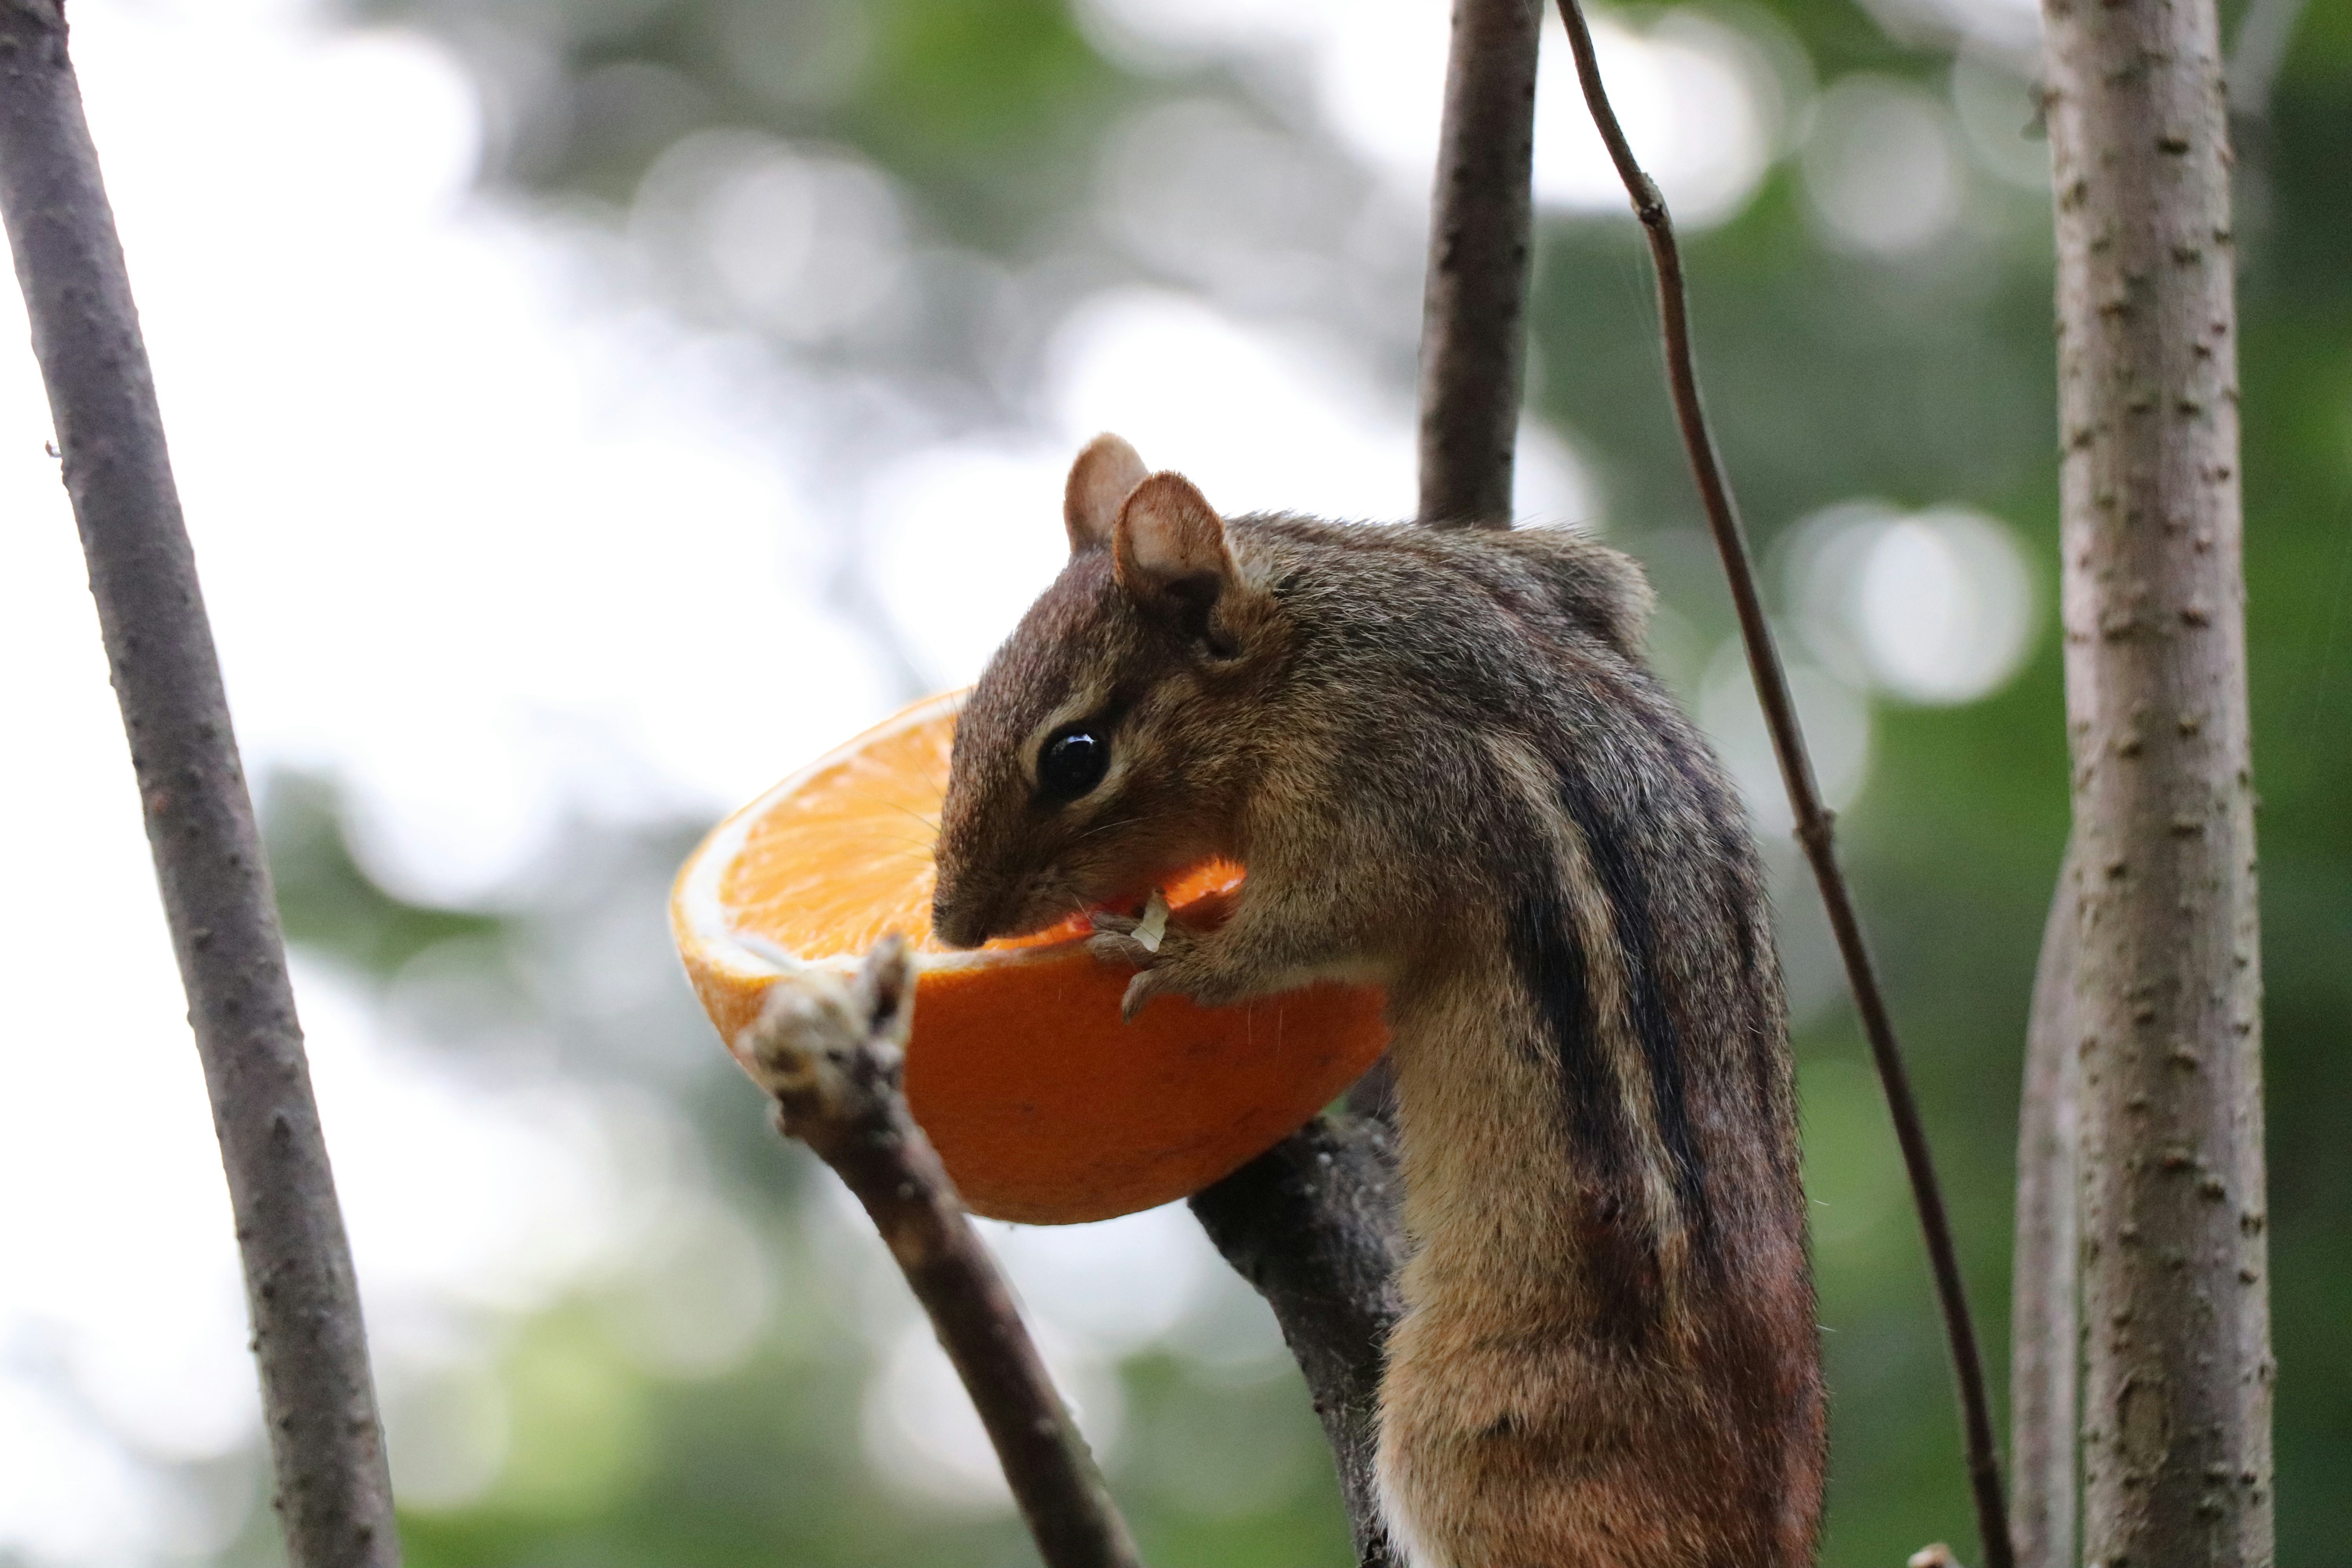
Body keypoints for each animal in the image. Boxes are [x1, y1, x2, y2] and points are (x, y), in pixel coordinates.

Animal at [930, 434, 1825, 1568]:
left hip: (1470, 1433)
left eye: (1073, 756)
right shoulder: (1560, 577)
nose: (951, 924)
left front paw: (1172, 956)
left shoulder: (1383, 804)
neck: (1309, 637)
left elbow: (1307, 929)